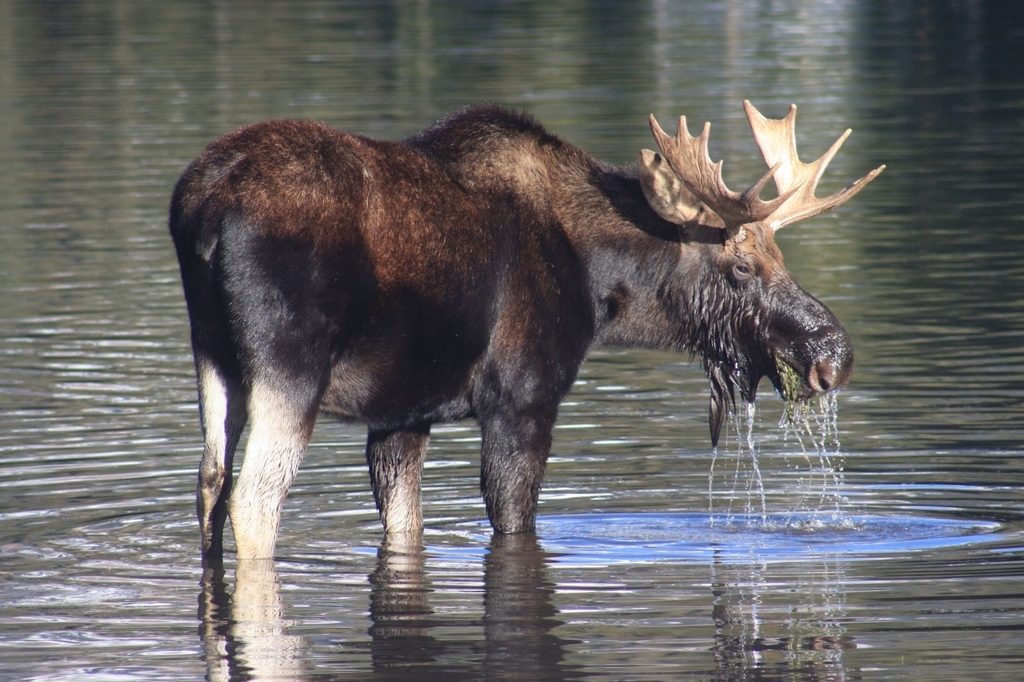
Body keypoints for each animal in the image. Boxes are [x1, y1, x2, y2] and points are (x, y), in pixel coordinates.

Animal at [169, 100, 883, 564]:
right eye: (740, 266)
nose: (833, 353)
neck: (600, 282)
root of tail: (201, 209)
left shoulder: (402, 411)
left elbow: (405, 527)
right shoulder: (523, 399)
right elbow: (513, 517)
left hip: (211, 358)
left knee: (209, 487)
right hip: (289, 370)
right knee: (252, 502)